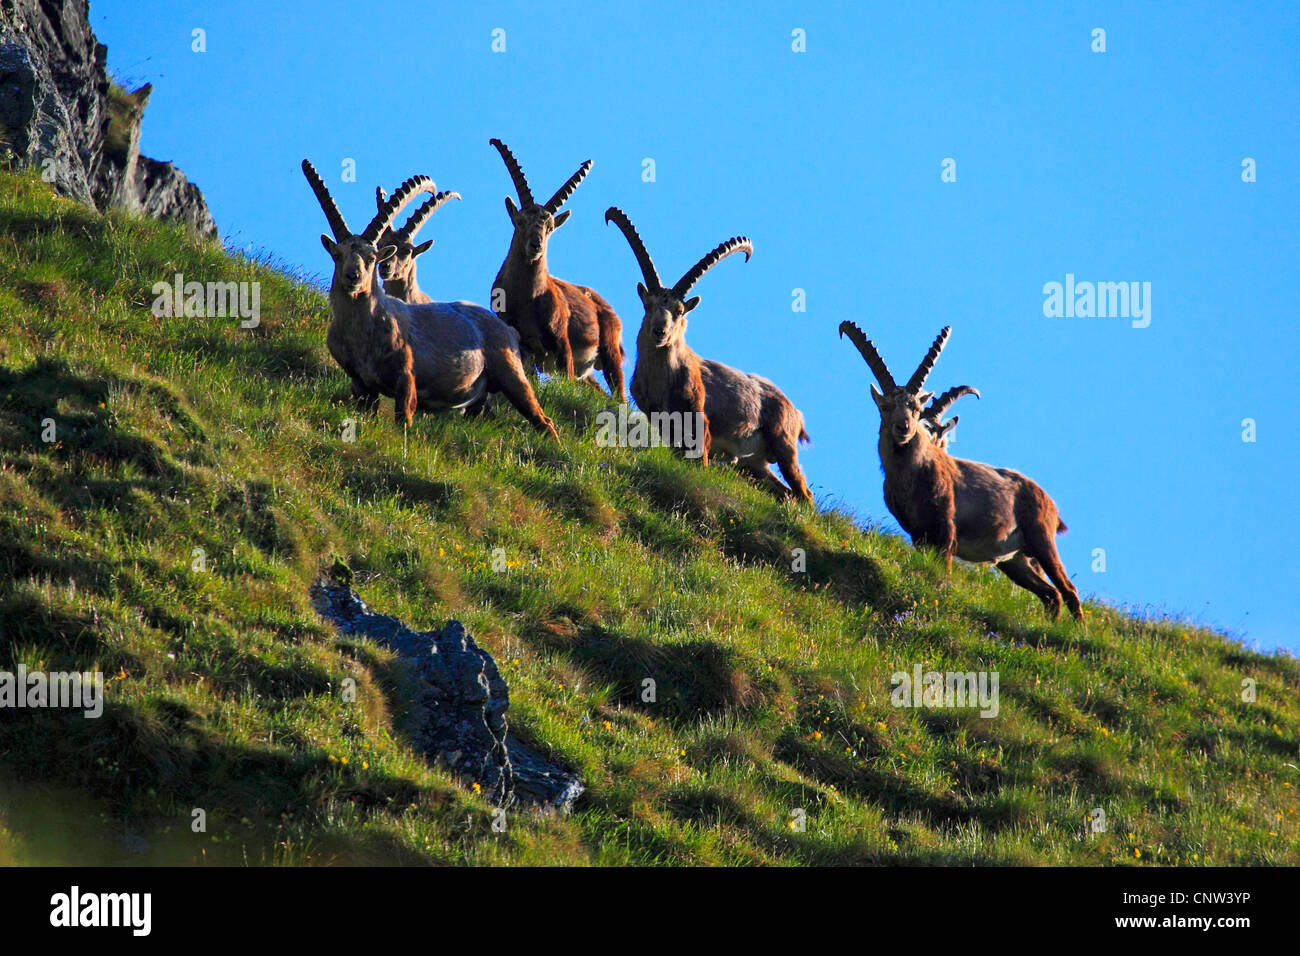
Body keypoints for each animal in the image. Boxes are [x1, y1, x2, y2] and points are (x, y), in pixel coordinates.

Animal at [302, 159, 558, 439]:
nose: (353, 277)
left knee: (544, 420)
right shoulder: (361, 385)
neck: (363, 332)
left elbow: (404, 418)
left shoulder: (407, 380)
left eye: (372, 258)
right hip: (478, 398)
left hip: (512, 374)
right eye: (337, 254)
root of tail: (507, 330)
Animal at [489, 139, 626, 402]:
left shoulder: (562, 344)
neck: (526, 299)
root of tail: (608, 308)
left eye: (550, 227)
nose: (536, 245)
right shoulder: (522, 344)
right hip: (589, 373)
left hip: (609, 348)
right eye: (520, 221)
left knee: (619, 391)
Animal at [605, 206, 813, 503]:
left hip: (783, 445)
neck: (662, 381)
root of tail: (795, 411)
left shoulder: (699, 423)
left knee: (805, 494)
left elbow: (701, 461)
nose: (659, 331)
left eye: (680, 311)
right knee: (785, 492)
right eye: (648, 304)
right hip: (756, 464)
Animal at [839, 322, 1081, 620]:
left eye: (916, 408)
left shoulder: (946, 533)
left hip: (1041, 538)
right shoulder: (919, 536)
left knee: (1068, 590)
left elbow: (944, 574)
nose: (903, 428)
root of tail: (1050, 503)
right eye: (885, 407)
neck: (911, 475)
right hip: (1015, 560)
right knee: (1051, 595)